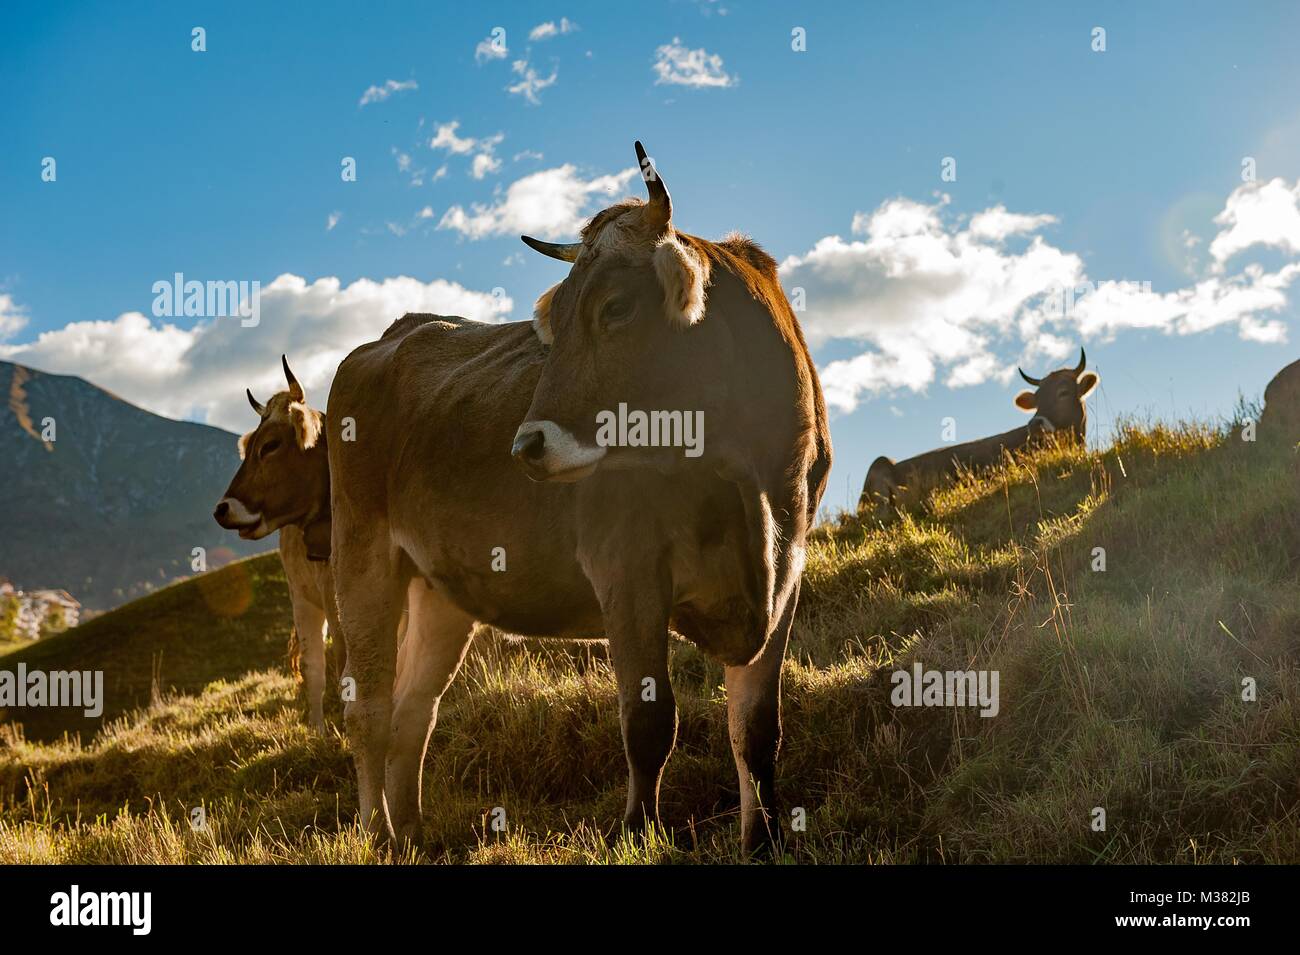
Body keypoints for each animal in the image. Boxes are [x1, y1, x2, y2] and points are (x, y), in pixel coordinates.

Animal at [327, 142, 830, 855]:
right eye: (554, 323)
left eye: (615, 307)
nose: (525, 446)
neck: (750, 484)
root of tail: (396, 332)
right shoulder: (627, 569)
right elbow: (649, 722)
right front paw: (637, 835)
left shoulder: (787, 573)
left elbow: (757, 728)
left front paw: (763, 843)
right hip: (362, 558)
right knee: (368, 709)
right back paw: (378, 836)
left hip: (439, 591)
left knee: (412, 712)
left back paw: (413, 837)